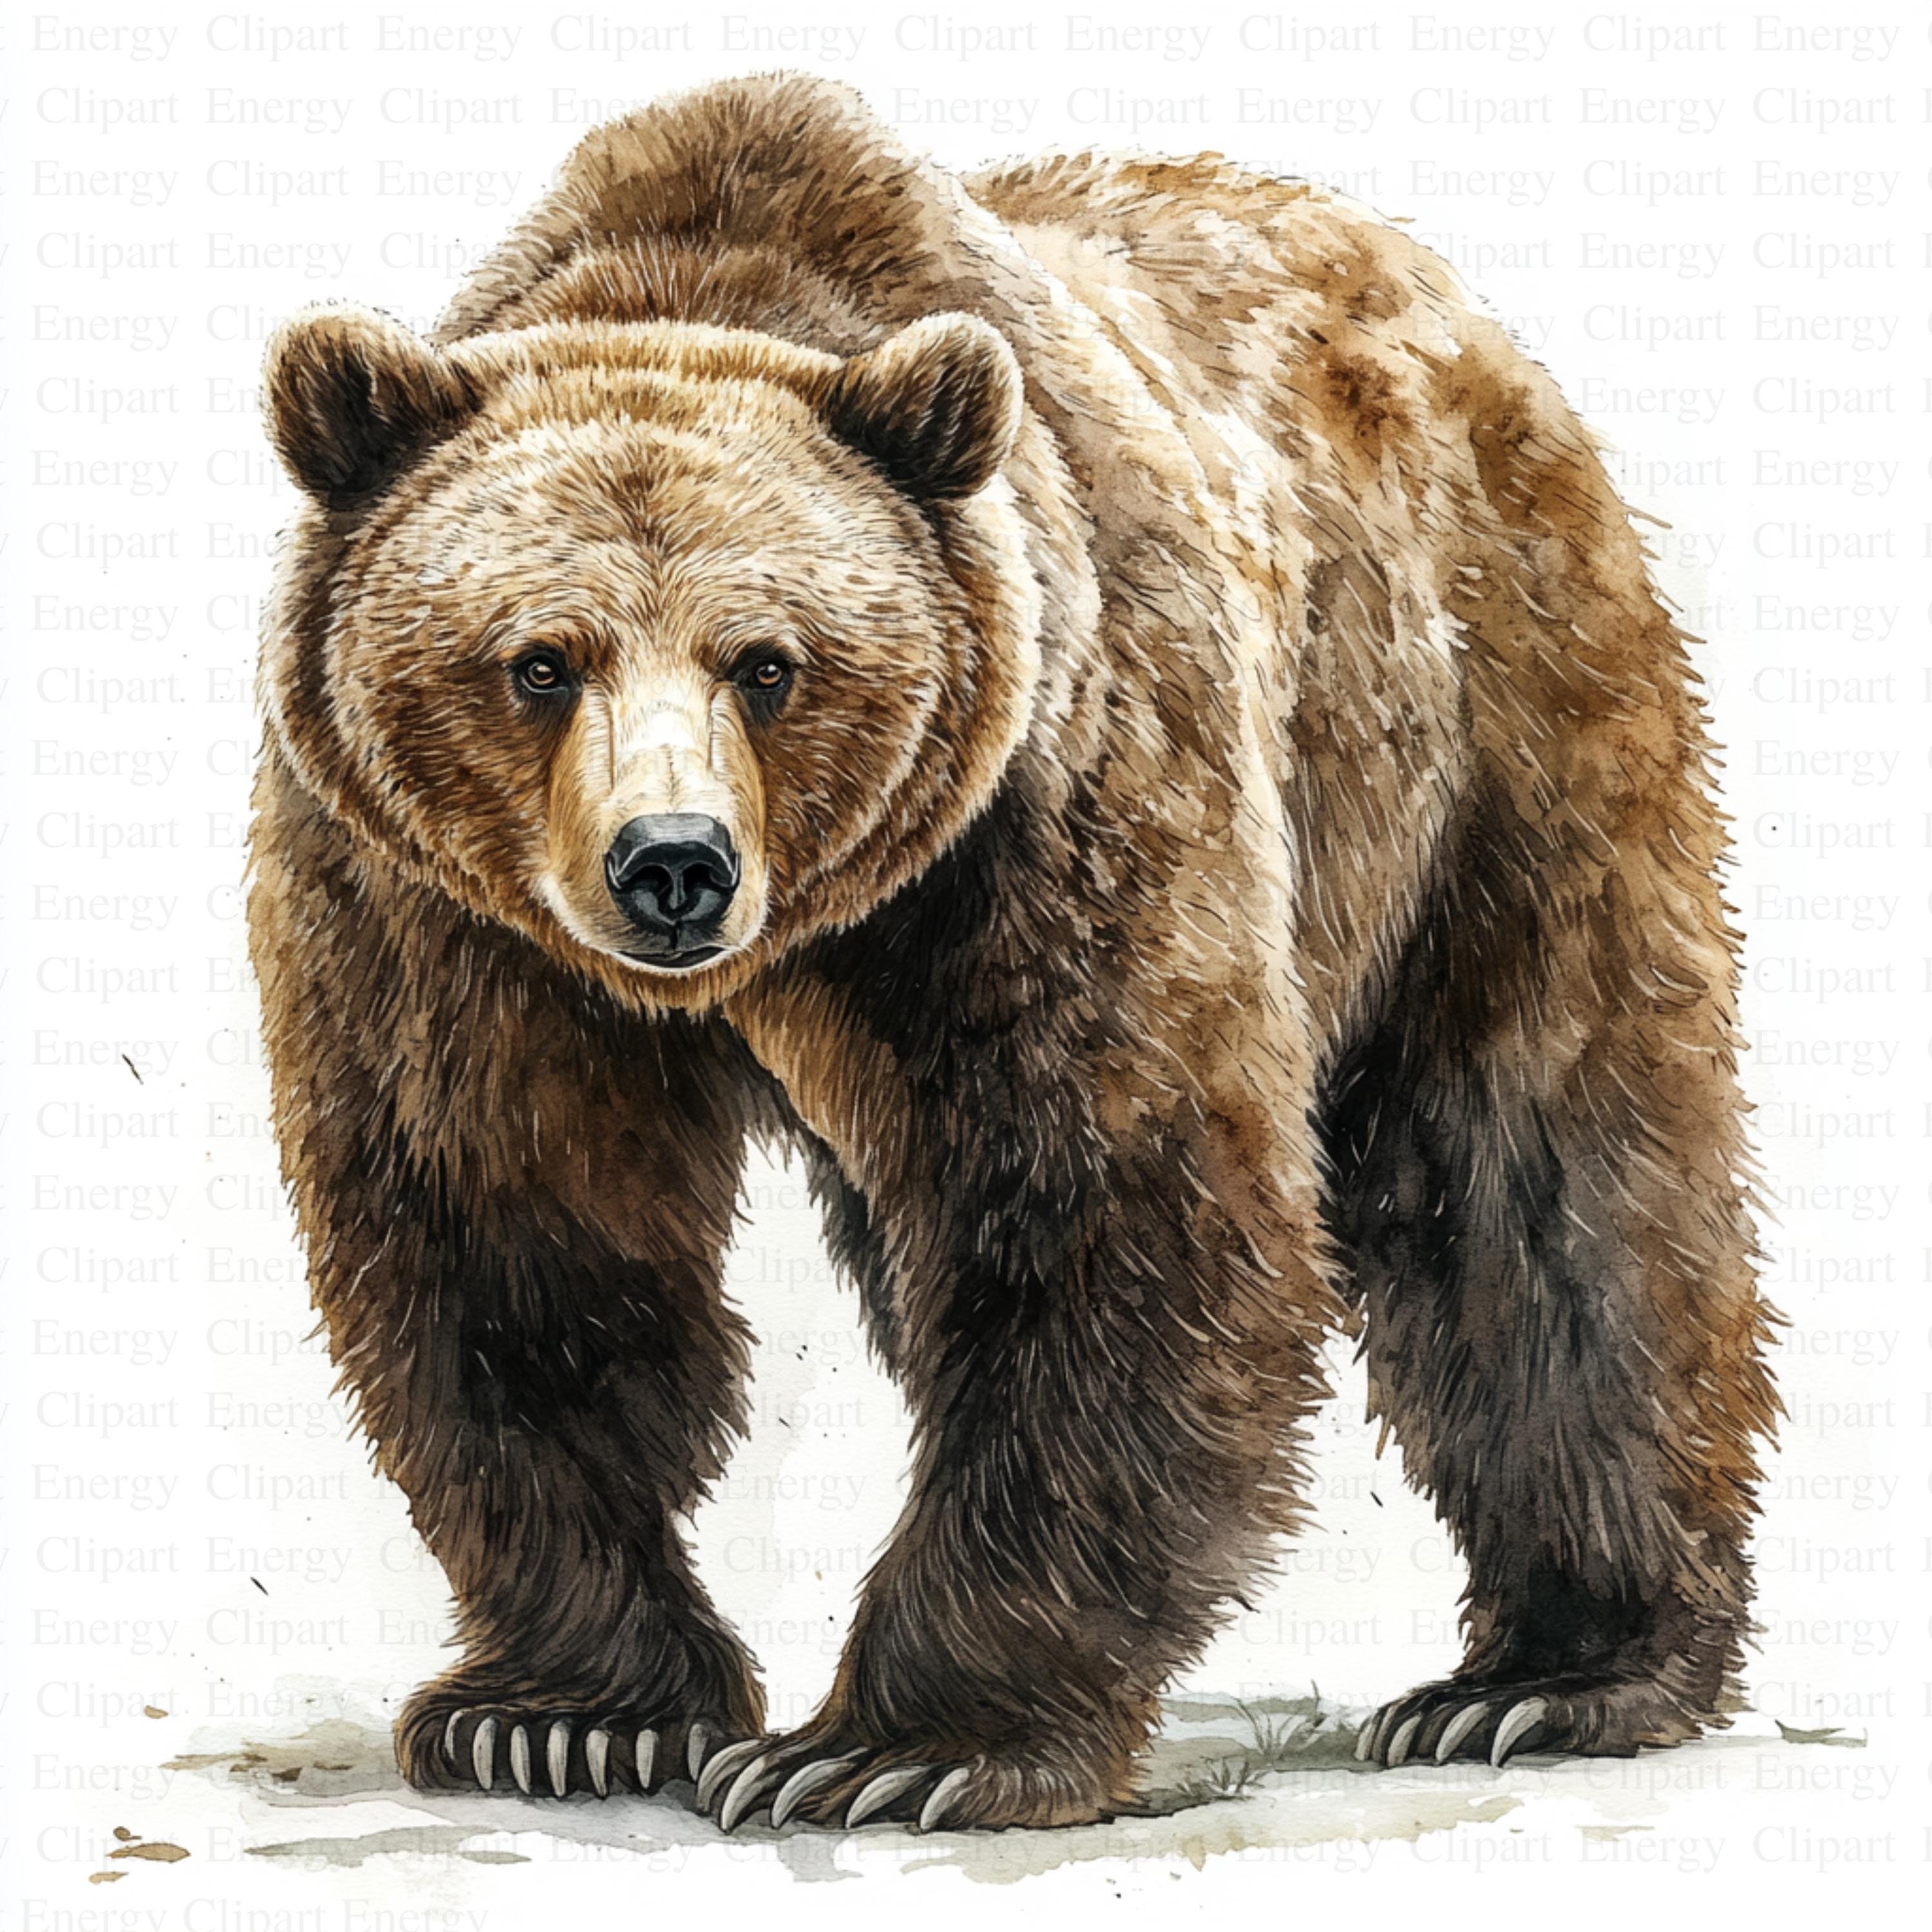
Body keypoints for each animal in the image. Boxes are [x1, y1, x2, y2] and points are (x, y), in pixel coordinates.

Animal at [248, 73, 1777, 1832]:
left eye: (768, 662)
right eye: (539, 661)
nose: (673, 866)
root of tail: (1444, 305)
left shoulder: (1054, 796)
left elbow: (1111, 1205)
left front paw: (891, 1746)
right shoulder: (436, 907)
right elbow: (512, 1226)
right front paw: (563, 1713)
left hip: (1475, 716)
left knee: (1540, 1178)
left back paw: (1549, 1677)